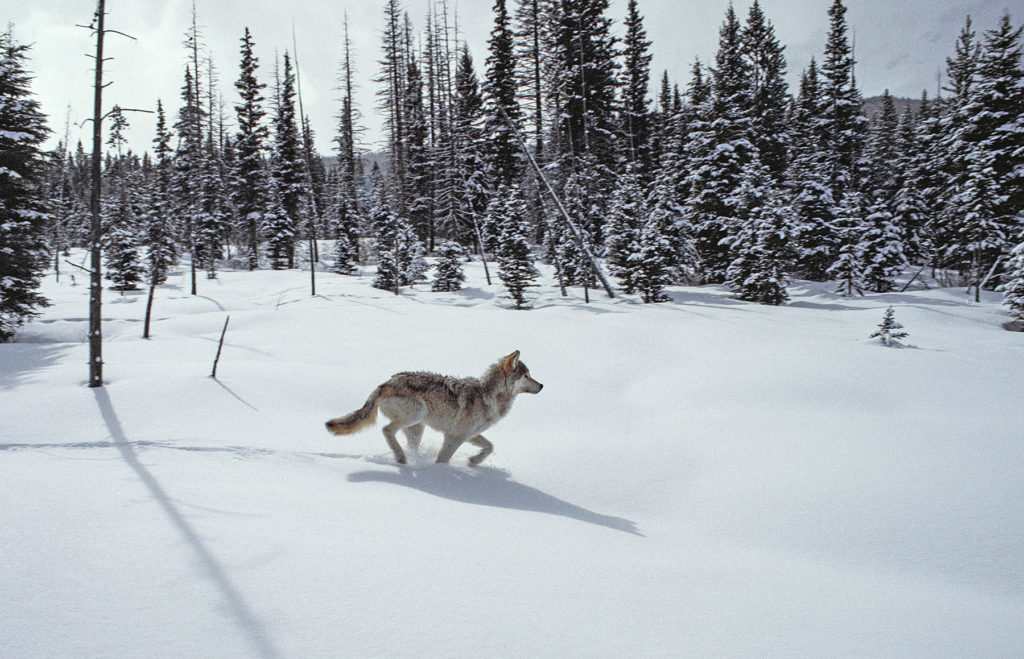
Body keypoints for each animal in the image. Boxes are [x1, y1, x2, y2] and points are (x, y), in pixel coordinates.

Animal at [325, 351, 543, 466]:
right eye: (526, 376)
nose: (541, 385)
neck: (487, 394)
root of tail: (384, 384)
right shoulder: (455, 437)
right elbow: (443, 459)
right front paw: (440, 472)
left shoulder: (469, 434)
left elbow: (490, 447)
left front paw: (473, 461)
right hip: (417, 414)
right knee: (386, 430)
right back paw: (401, 458)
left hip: (417, 429)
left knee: (405, 441)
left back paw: (407, 459)